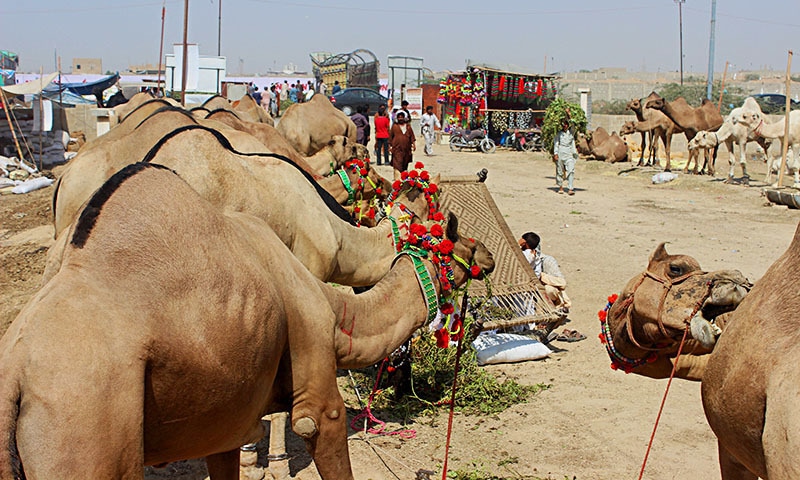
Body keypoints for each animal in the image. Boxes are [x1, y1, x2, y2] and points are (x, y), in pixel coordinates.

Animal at [0, 162, 495, 479]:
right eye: (455, 240)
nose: (488, 255)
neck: (337, 315)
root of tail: (13, 382)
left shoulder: (222, 420)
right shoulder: (317, 386)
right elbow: (316, 424)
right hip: (86, 429)